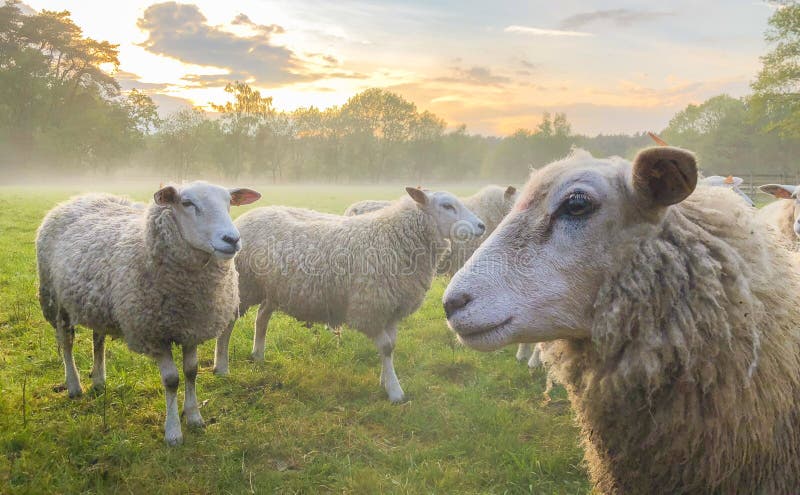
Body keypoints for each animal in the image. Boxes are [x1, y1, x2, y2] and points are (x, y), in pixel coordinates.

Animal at [36, 182, 261, 445]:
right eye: (187, 203)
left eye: (229, 202)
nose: (232, 239)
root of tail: (79, 198)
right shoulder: (154, 333)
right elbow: (172, 380)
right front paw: (173, 432)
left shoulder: (192, 327)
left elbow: (192, 372)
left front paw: (194, 417)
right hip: (54, 298)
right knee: (66, 341)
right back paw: (73, 386)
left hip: (98, 305)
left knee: (97, 340)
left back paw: (99, 380)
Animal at [213, 187, 485, 402]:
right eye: (447, 206)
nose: (482, 226)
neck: (393, 238)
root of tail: (250, 215)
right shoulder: (370, 308)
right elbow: (386, 347)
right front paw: (395, 391)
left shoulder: (392, 309)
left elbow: (391, 346)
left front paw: (385, 379)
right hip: (243, 285)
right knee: (228, 324)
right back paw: (221, 366)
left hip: (274, 288)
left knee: (262, 317)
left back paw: (258, 354)